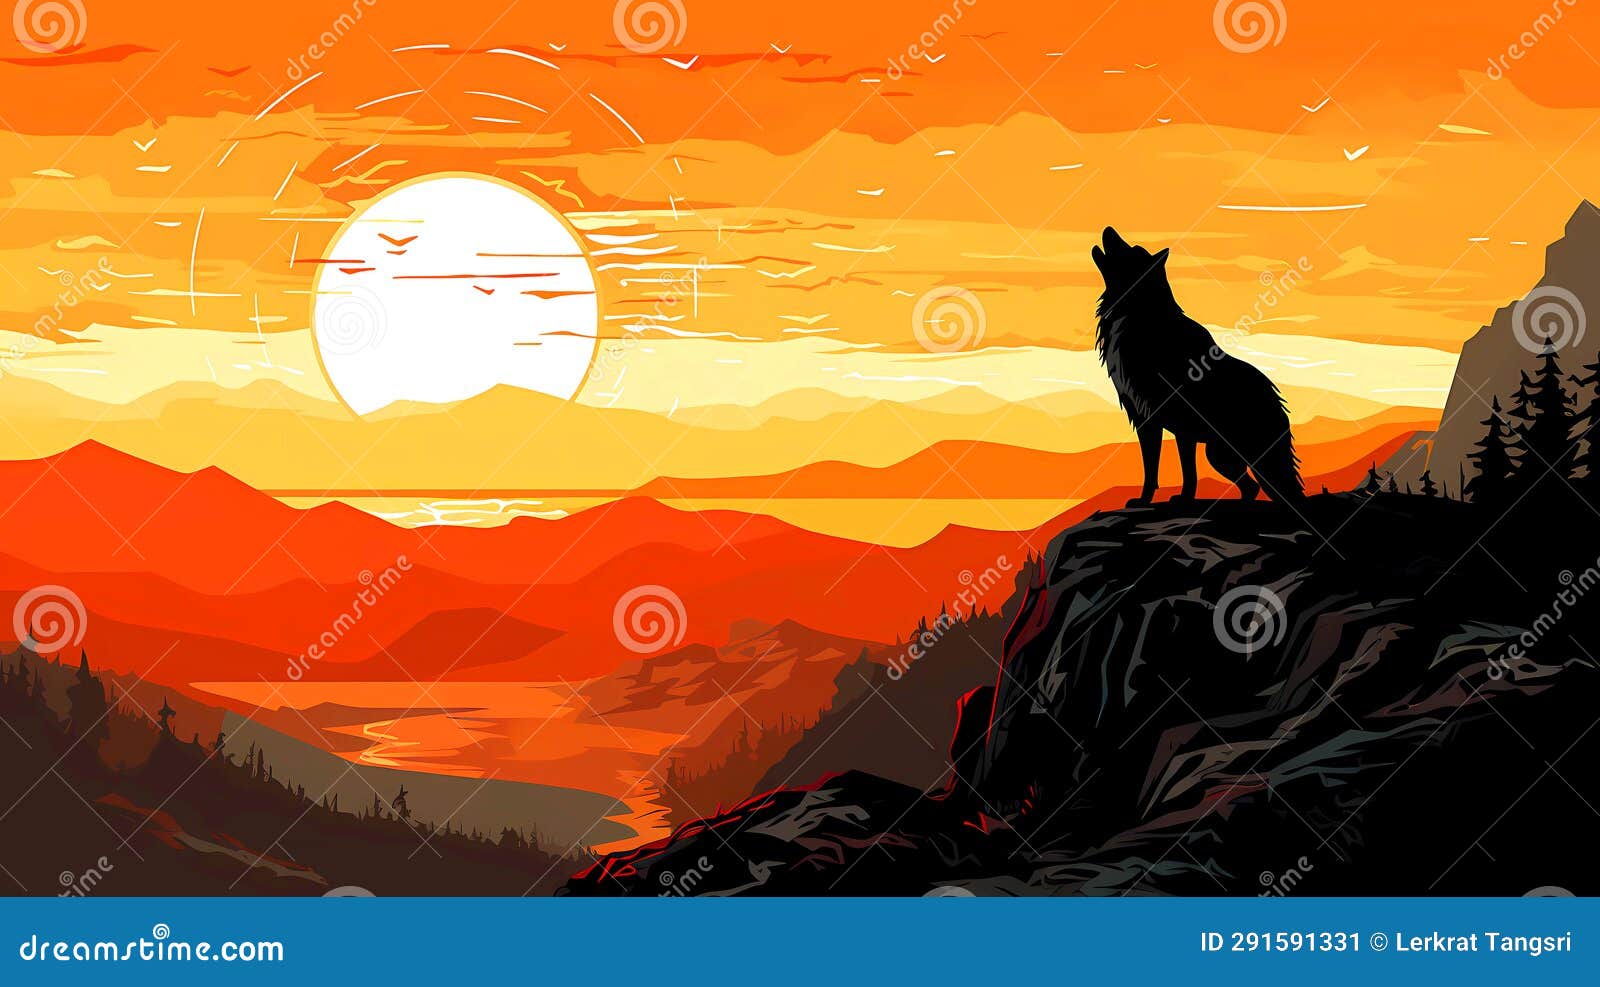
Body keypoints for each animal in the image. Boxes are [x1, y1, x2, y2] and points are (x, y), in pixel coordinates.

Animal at [1091, 226, 1302, 506]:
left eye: (1131, 249)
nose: (1108, 229)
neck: (1143, 318)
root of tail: (1278, 403)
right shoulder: (1146, 421)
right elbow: (1151, 468)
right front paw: (1145, 500)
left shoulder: (1182, 426)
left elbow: (1188, 471)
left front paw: (1184, 499)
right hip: (1220, 456)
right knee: (1252, 488)